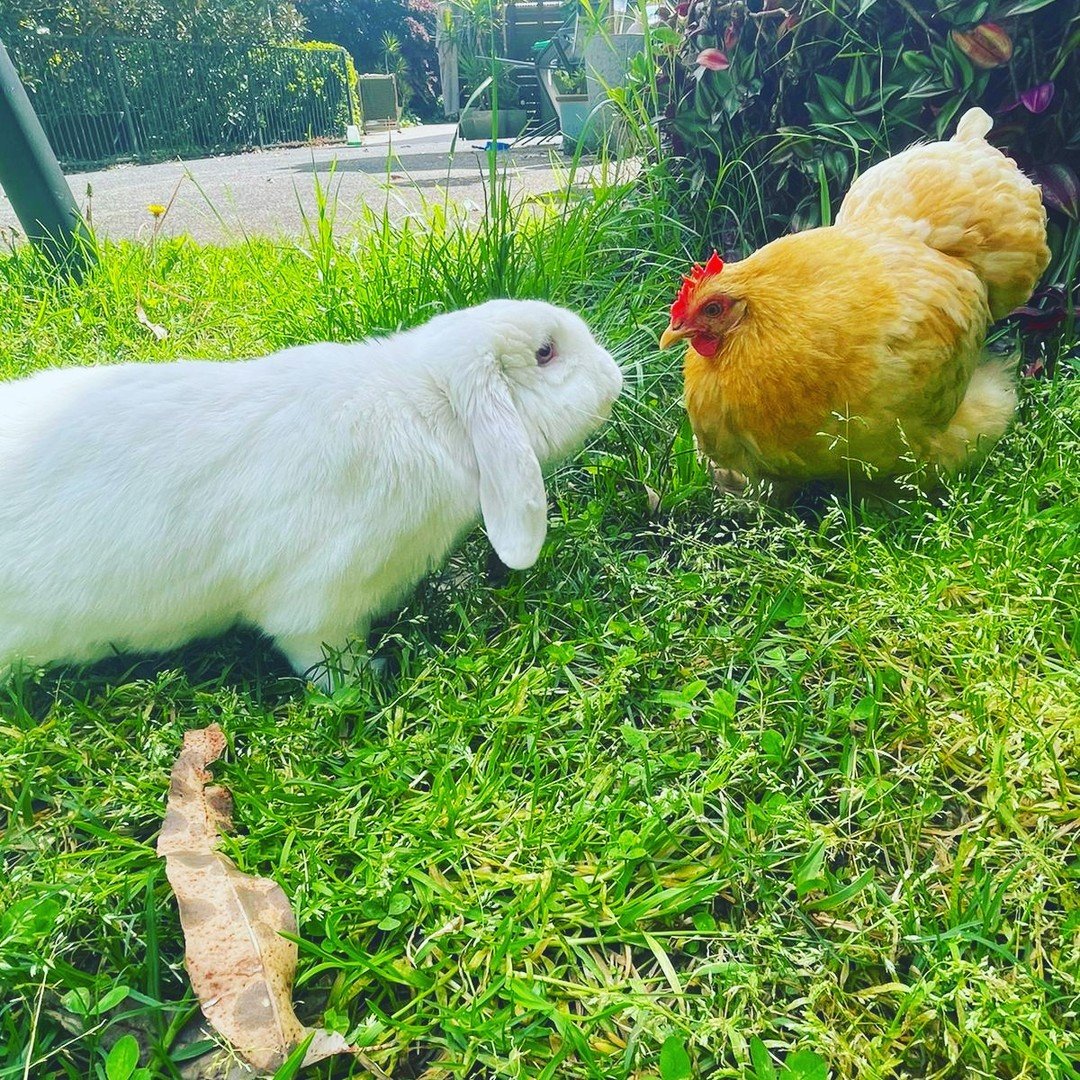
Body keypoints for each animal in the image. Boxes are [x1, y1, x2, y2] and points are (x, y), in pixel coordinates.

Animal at [0, 299, 623, 687]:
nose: (615, 375)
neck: (432, 410)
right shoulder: (318, 601)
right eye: (545, 353)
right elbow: (322, 657)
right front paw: (367, 681)